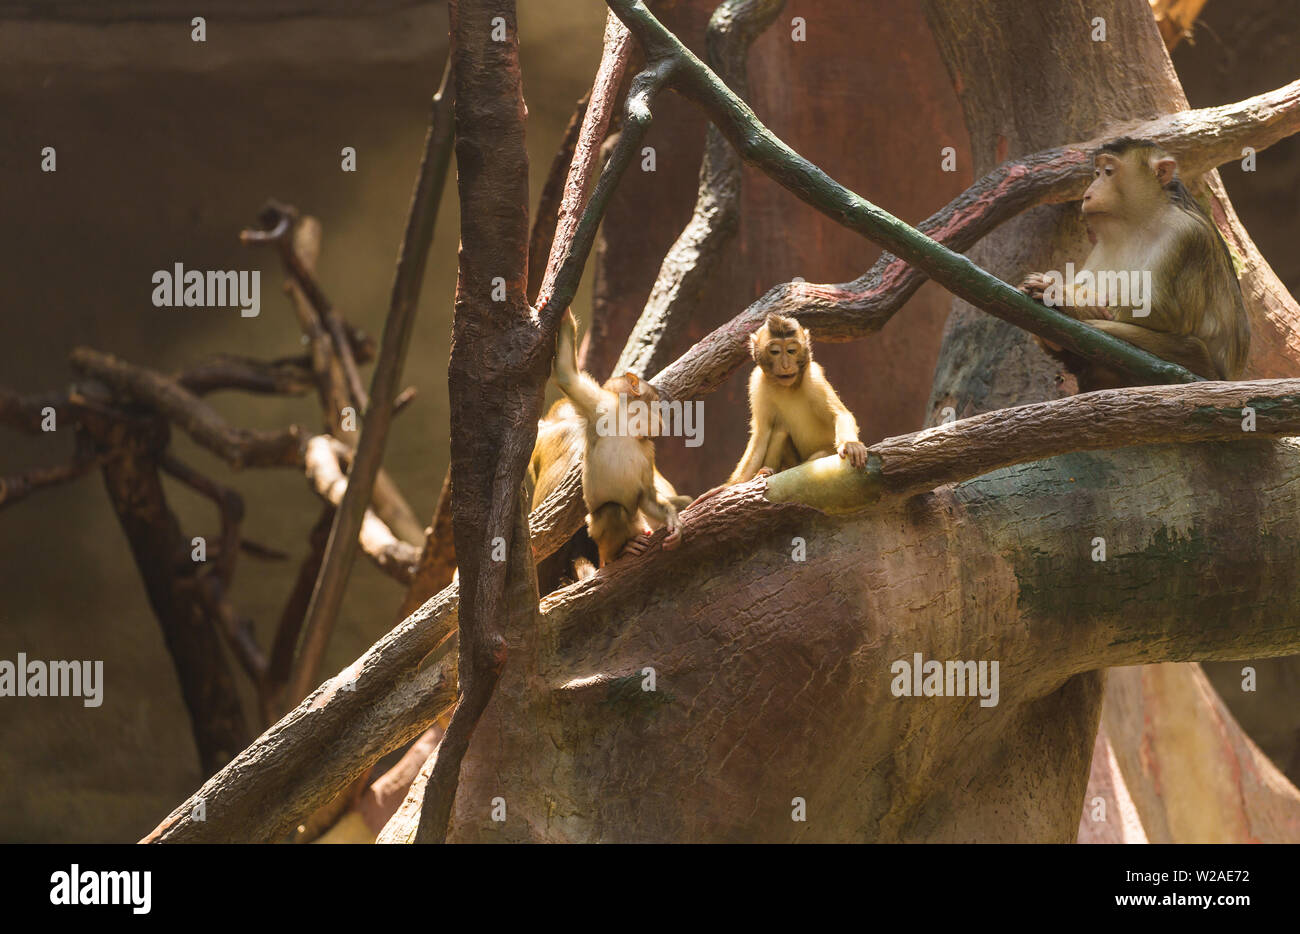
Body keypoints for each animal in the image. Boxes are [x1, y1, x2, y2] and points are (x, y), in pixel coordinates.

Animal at [550, 309, 687, 567]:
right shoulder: (599, 406)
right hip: (597, 530)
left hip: (637, 519)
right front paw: (562, 314)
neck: (628, 426)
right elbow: (566, 375)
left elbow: (646, 495)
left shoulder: (647, 449)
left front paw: (673, 523)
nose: (661, 420)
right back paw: (621, 551)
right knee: (612, 510)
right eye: (657, 405)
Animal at [1020, 137, 1249, 391]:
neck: (1139, 223)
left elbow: (1162, 312)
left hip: (1200, 366)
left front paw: (1069, 298)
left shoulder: (1185, 235)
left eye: (1109, 172)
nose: (1088, 194)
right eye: (1097, 173)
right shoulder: (1101, 245)